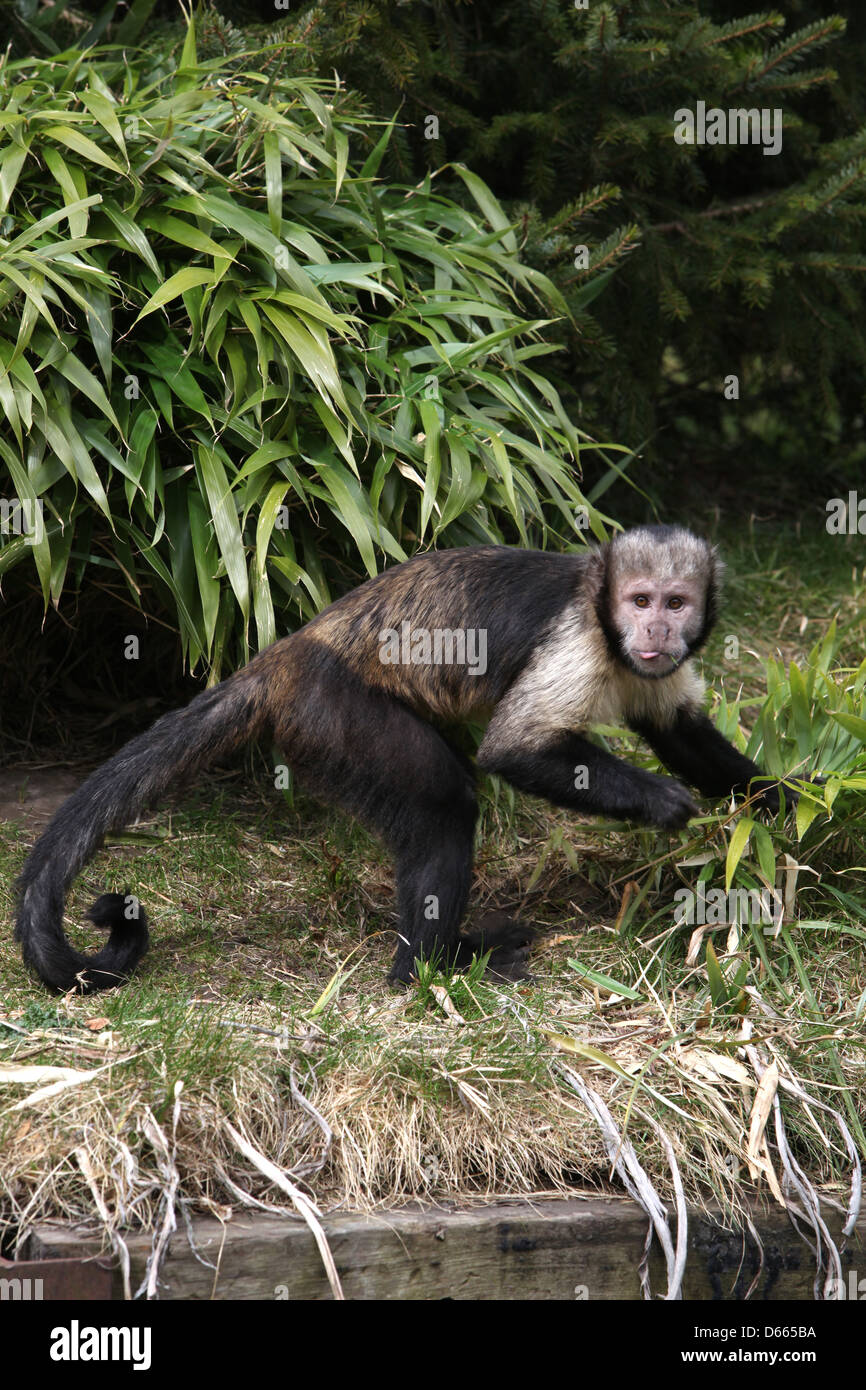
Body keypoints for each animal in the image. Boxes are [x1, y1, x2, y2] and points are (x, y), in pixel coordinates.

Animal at [14, 525, 798, 994]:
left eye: (675, 602)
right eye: (639, 600)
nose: (656, 630)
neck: (607, 625)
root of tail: (287, 654)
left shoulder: (654, 670)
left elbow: (682, 733)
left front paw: (791, 801)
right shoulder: (578, 637)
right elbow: (515, 748)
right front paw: (663, 803)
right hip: (334, 713)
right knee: (445, 801)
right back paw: (427, 971)